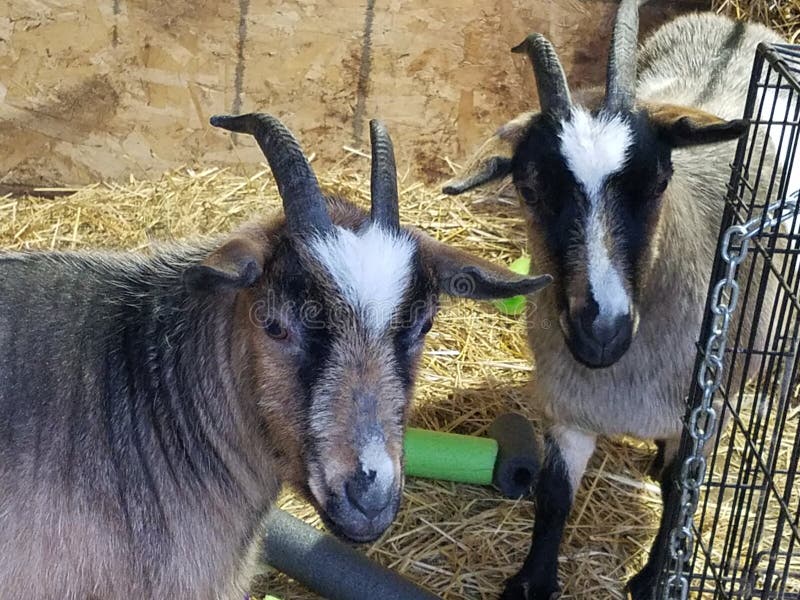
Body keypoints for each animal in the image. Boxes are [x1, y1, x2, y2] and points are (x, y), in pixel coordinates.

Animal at [443, 2, 786, 598]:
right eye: (529, 188)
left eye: (660, 181)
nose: (601, 331)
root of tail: (740, 26)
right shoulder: (571, 408)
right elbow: (554, 495)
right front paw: (532, 580)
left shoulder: (701, 417)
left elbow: (679, 493)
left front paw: (654, 578)